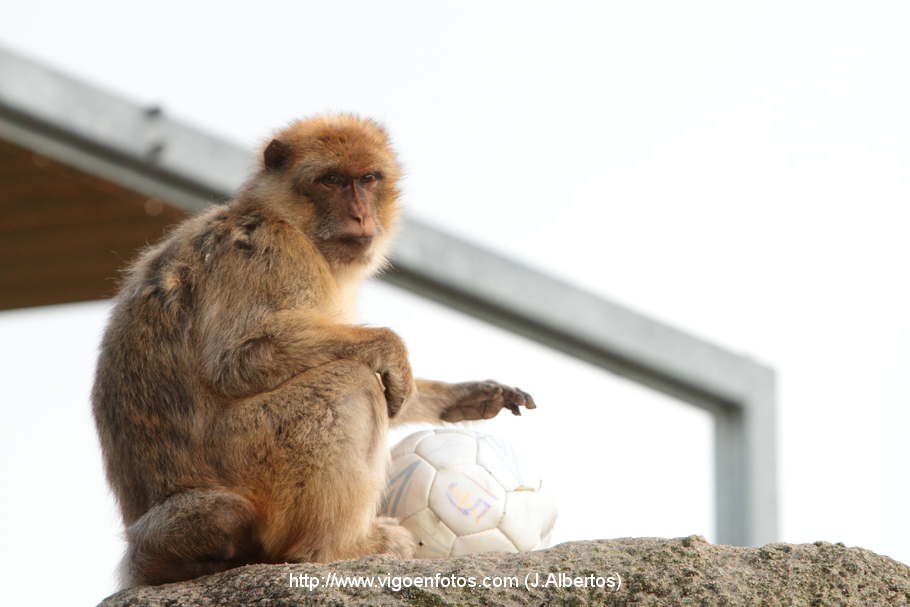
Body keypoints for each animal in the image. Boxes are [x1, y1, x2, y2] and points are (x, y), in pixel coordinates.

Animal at [91, 114, 536, 588]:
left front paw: (463, 396)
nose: (360, 214)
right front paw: (391, 349)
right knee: (351, 383)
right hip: (243, 462)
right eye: (332, 181)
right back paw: (338, 549)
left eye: (368, 179)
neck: (284, 218)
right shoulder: (270, 251)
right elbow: (237, 357)